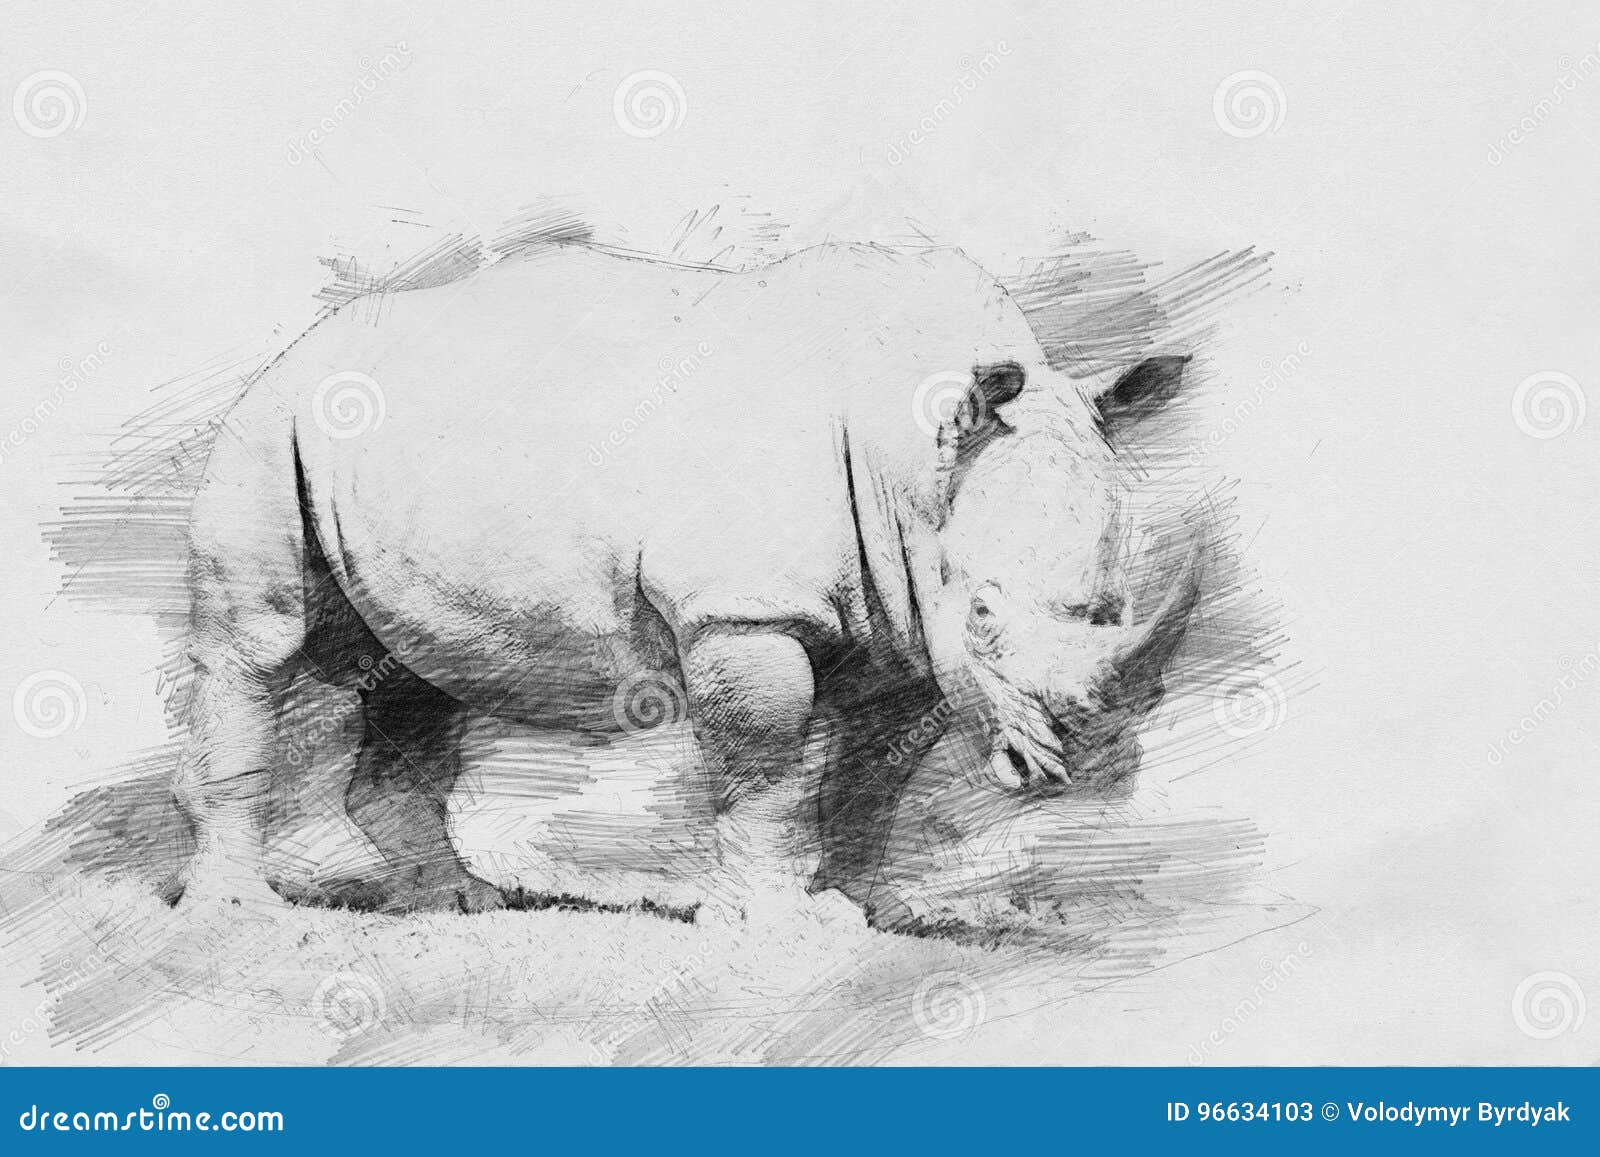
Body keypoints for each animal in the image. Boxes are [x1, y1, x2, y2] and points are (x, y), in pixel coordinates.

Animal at [169, 240, 1198, 927]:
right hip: (268, 417)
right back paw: (236, 917)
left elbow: (873, 777)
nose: (1087, 758)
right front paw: (773, 926)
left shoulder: (903, 618)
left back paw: (462, 901)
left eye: (1115, 608)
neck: (916, 452)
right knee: (255, 645)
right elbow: (765, 766)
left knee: (416, 670)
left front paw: (865, 913)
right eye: (983, 610)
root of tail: (307, 340)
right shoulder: (741, 613)